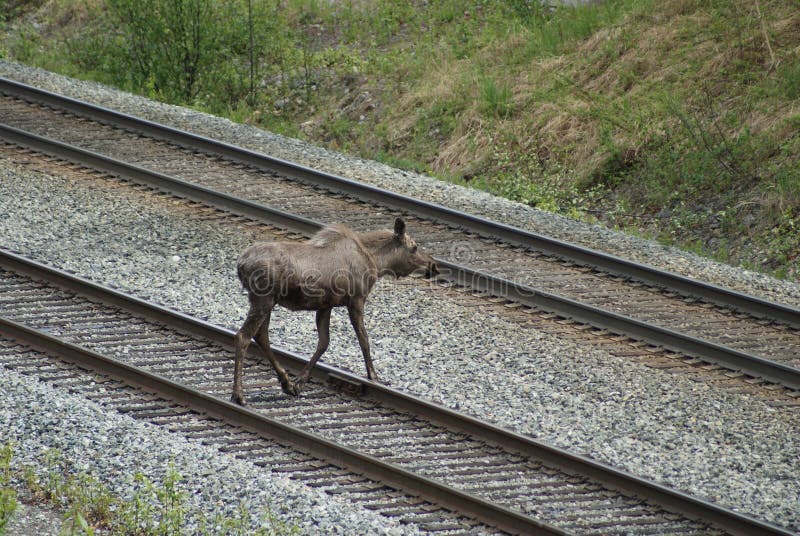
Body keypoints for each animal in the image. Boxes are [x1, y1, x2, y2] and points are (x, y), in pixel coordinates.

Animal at [232, 217, 439, 405]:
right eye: (414, 247)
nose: (434, 265)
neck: (377, 262)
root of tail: (241, 264)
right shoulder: (356, 300)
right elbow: (364, 339)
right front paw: (373, 376)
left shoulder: (325, 305)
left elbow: (324, 342)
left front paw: (300, 380)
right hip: (263, 299)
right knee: (243, 336)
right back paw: (239, 395)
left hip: (267, 302)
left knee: (261, 336)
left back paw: (287, 383)